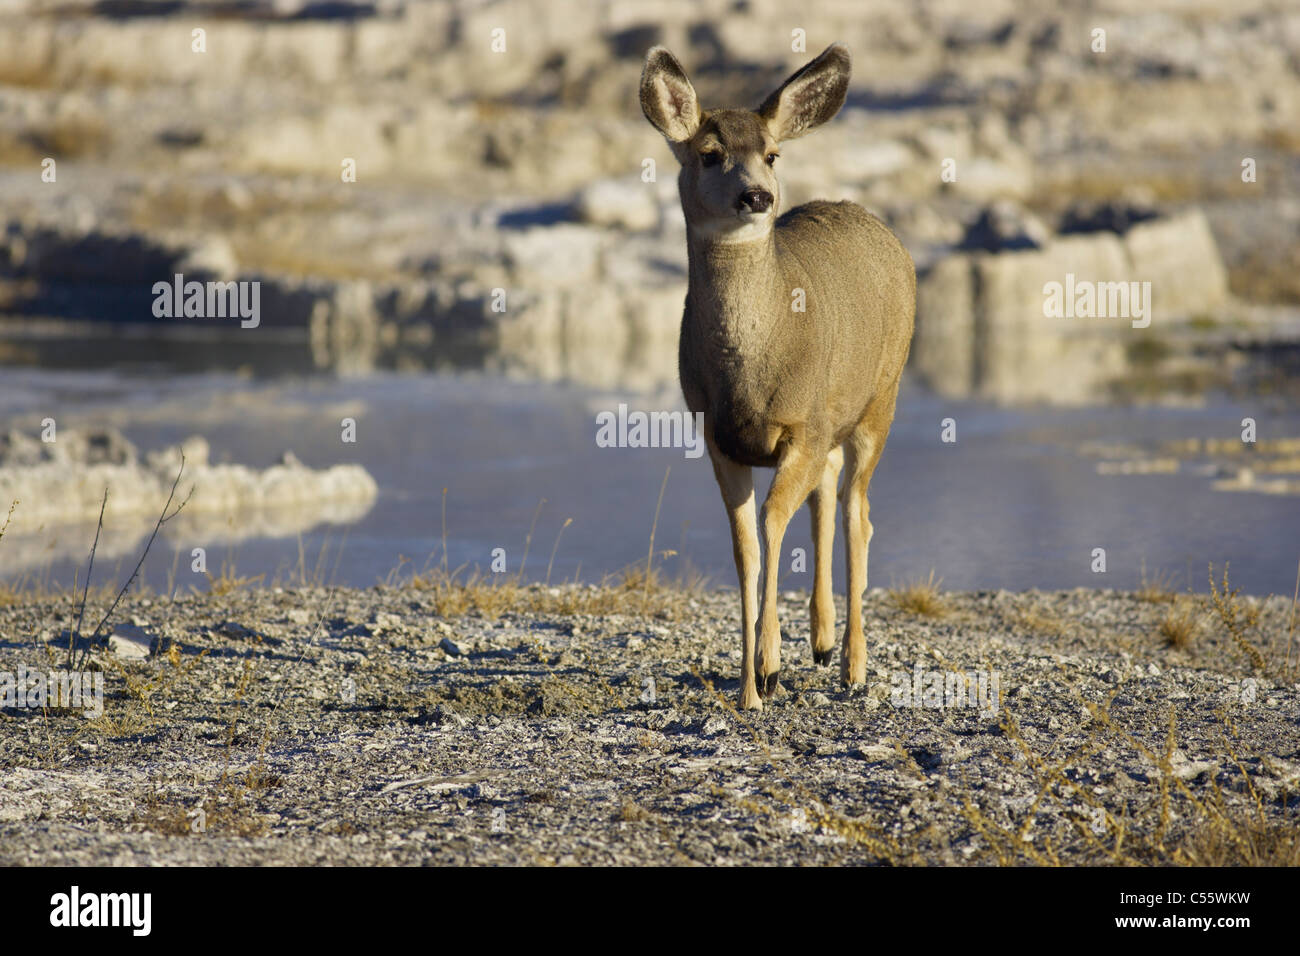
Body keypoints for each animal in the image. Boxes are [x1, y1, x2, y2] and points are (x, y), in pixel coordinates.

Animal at [640, 43, 916, 710]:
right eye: (709, 153)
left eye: (772, 154)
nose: (757, 197)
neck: (752, 370)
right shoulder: (716, 436)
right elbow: (744, 546)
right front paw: (751, 688)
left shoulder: (803, 426)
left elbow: (769, 524)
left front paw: (766, 667)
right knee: (830, 492)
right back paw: (820, 643)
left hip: (881, 400)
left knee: (856, 510)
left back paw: (853, 668)